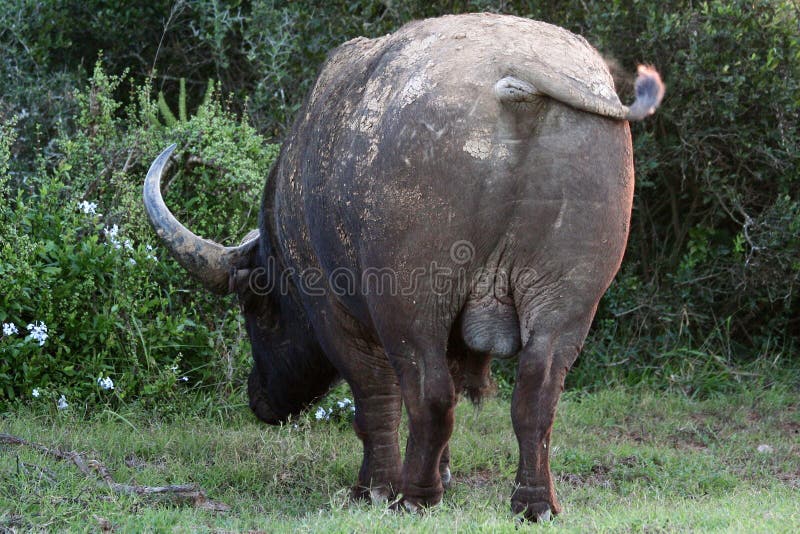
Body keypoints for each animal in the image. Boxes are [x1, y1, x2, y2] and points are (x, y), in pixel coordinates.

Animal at [144, 13, 663, 520]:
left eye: (253, 306)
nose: (260, 400)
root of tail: (514, 76)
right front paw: (445, 474)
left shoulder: (335, 314)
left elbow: (374, 399)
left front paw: (372, 488)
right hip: (567, 302)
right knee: (537, 393)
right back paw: (533, 504)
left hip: (409, 302)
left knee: (429, 393)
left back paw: (413, 496)